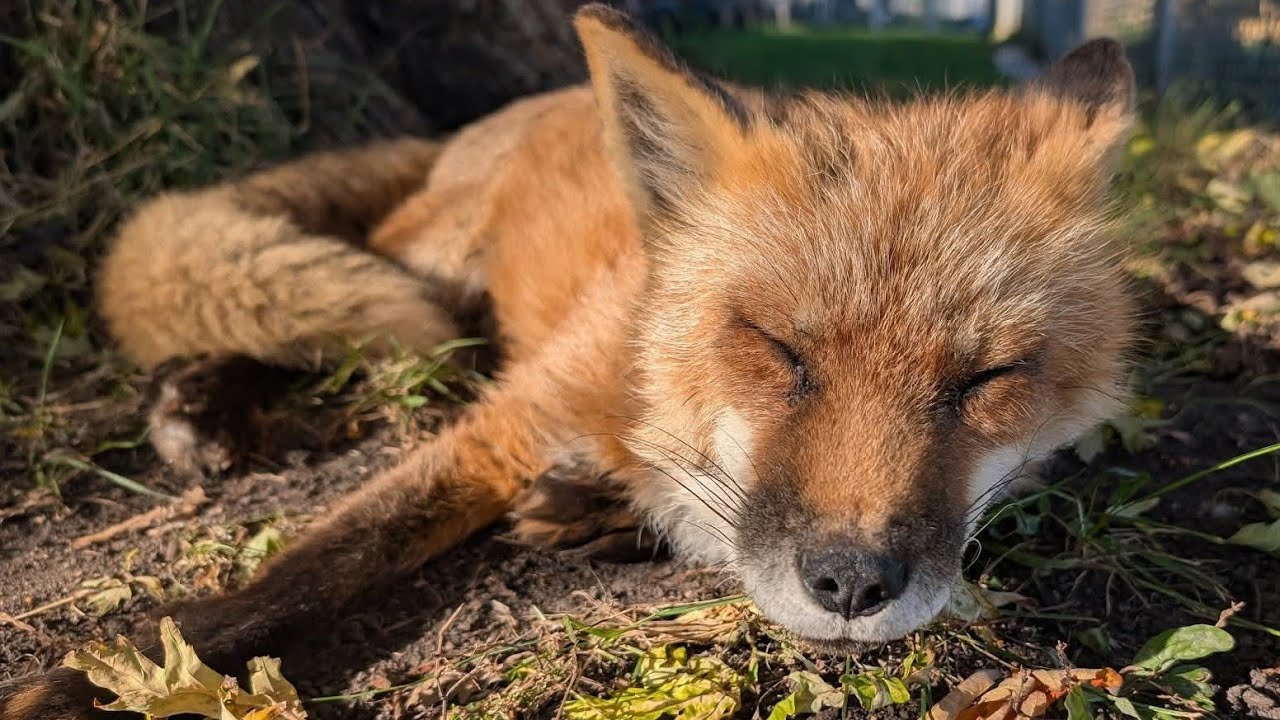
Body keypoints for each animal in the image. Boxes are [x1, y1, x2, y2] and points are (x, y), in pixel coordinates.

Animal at [0, 5, 1138, 718]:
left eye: (985, 381)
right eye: (774, 348)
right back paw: (199, 402)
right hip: (432, 277)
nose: (851, 585)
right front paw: (117, 676)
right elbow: (321, 562)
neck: (660, 397)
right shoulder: (506, 421)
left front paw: (601, 514)